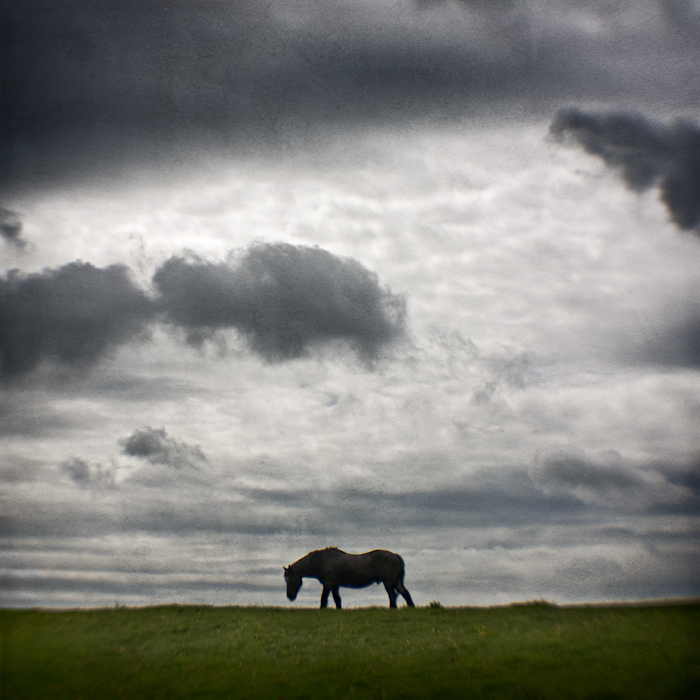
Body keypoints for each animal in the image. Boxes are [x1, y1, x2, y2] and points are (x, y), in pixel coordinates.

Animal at [284, 547, 415, 609]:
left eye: (289, 579)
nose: (289, 596)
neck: (322, 561)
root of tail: (396, 555)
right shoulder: (334, 585)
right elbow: (337, 599)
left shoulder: (328, 583)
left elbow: (323, 598)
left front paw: (322, 609)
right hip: (394, 582)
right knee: (403, 593)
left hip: (388, 582)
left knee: (393, 595)